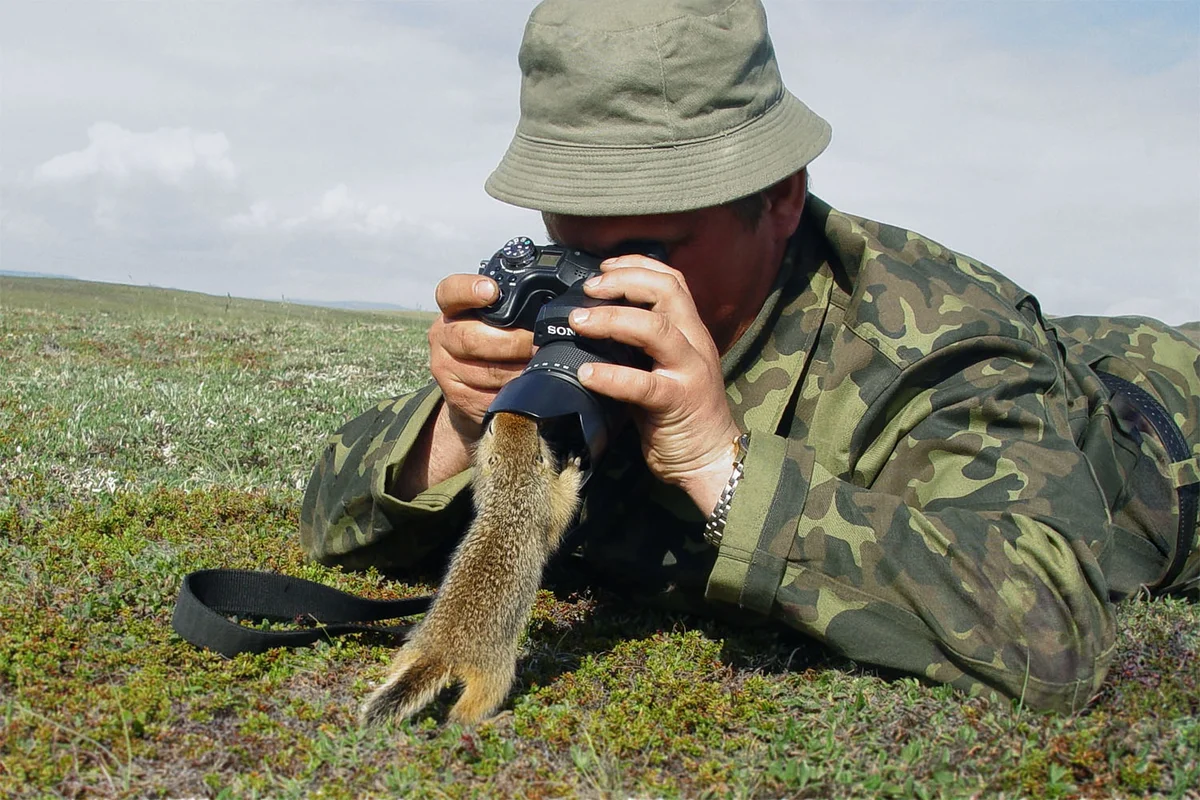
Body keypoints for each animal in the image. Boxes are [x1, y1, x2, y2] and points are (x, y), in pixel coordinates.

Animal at [357, 410, 583, 729]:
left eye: (532, 426)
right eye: (492, 428)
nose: (505, 412)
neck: (511, 485)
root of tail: (441, 653)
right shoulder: (544, 505)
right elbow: (561, 508)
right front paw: (573, 467)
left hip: (414, 645)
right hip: (496, 671)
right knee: (464, 714)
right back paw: (494, 719)